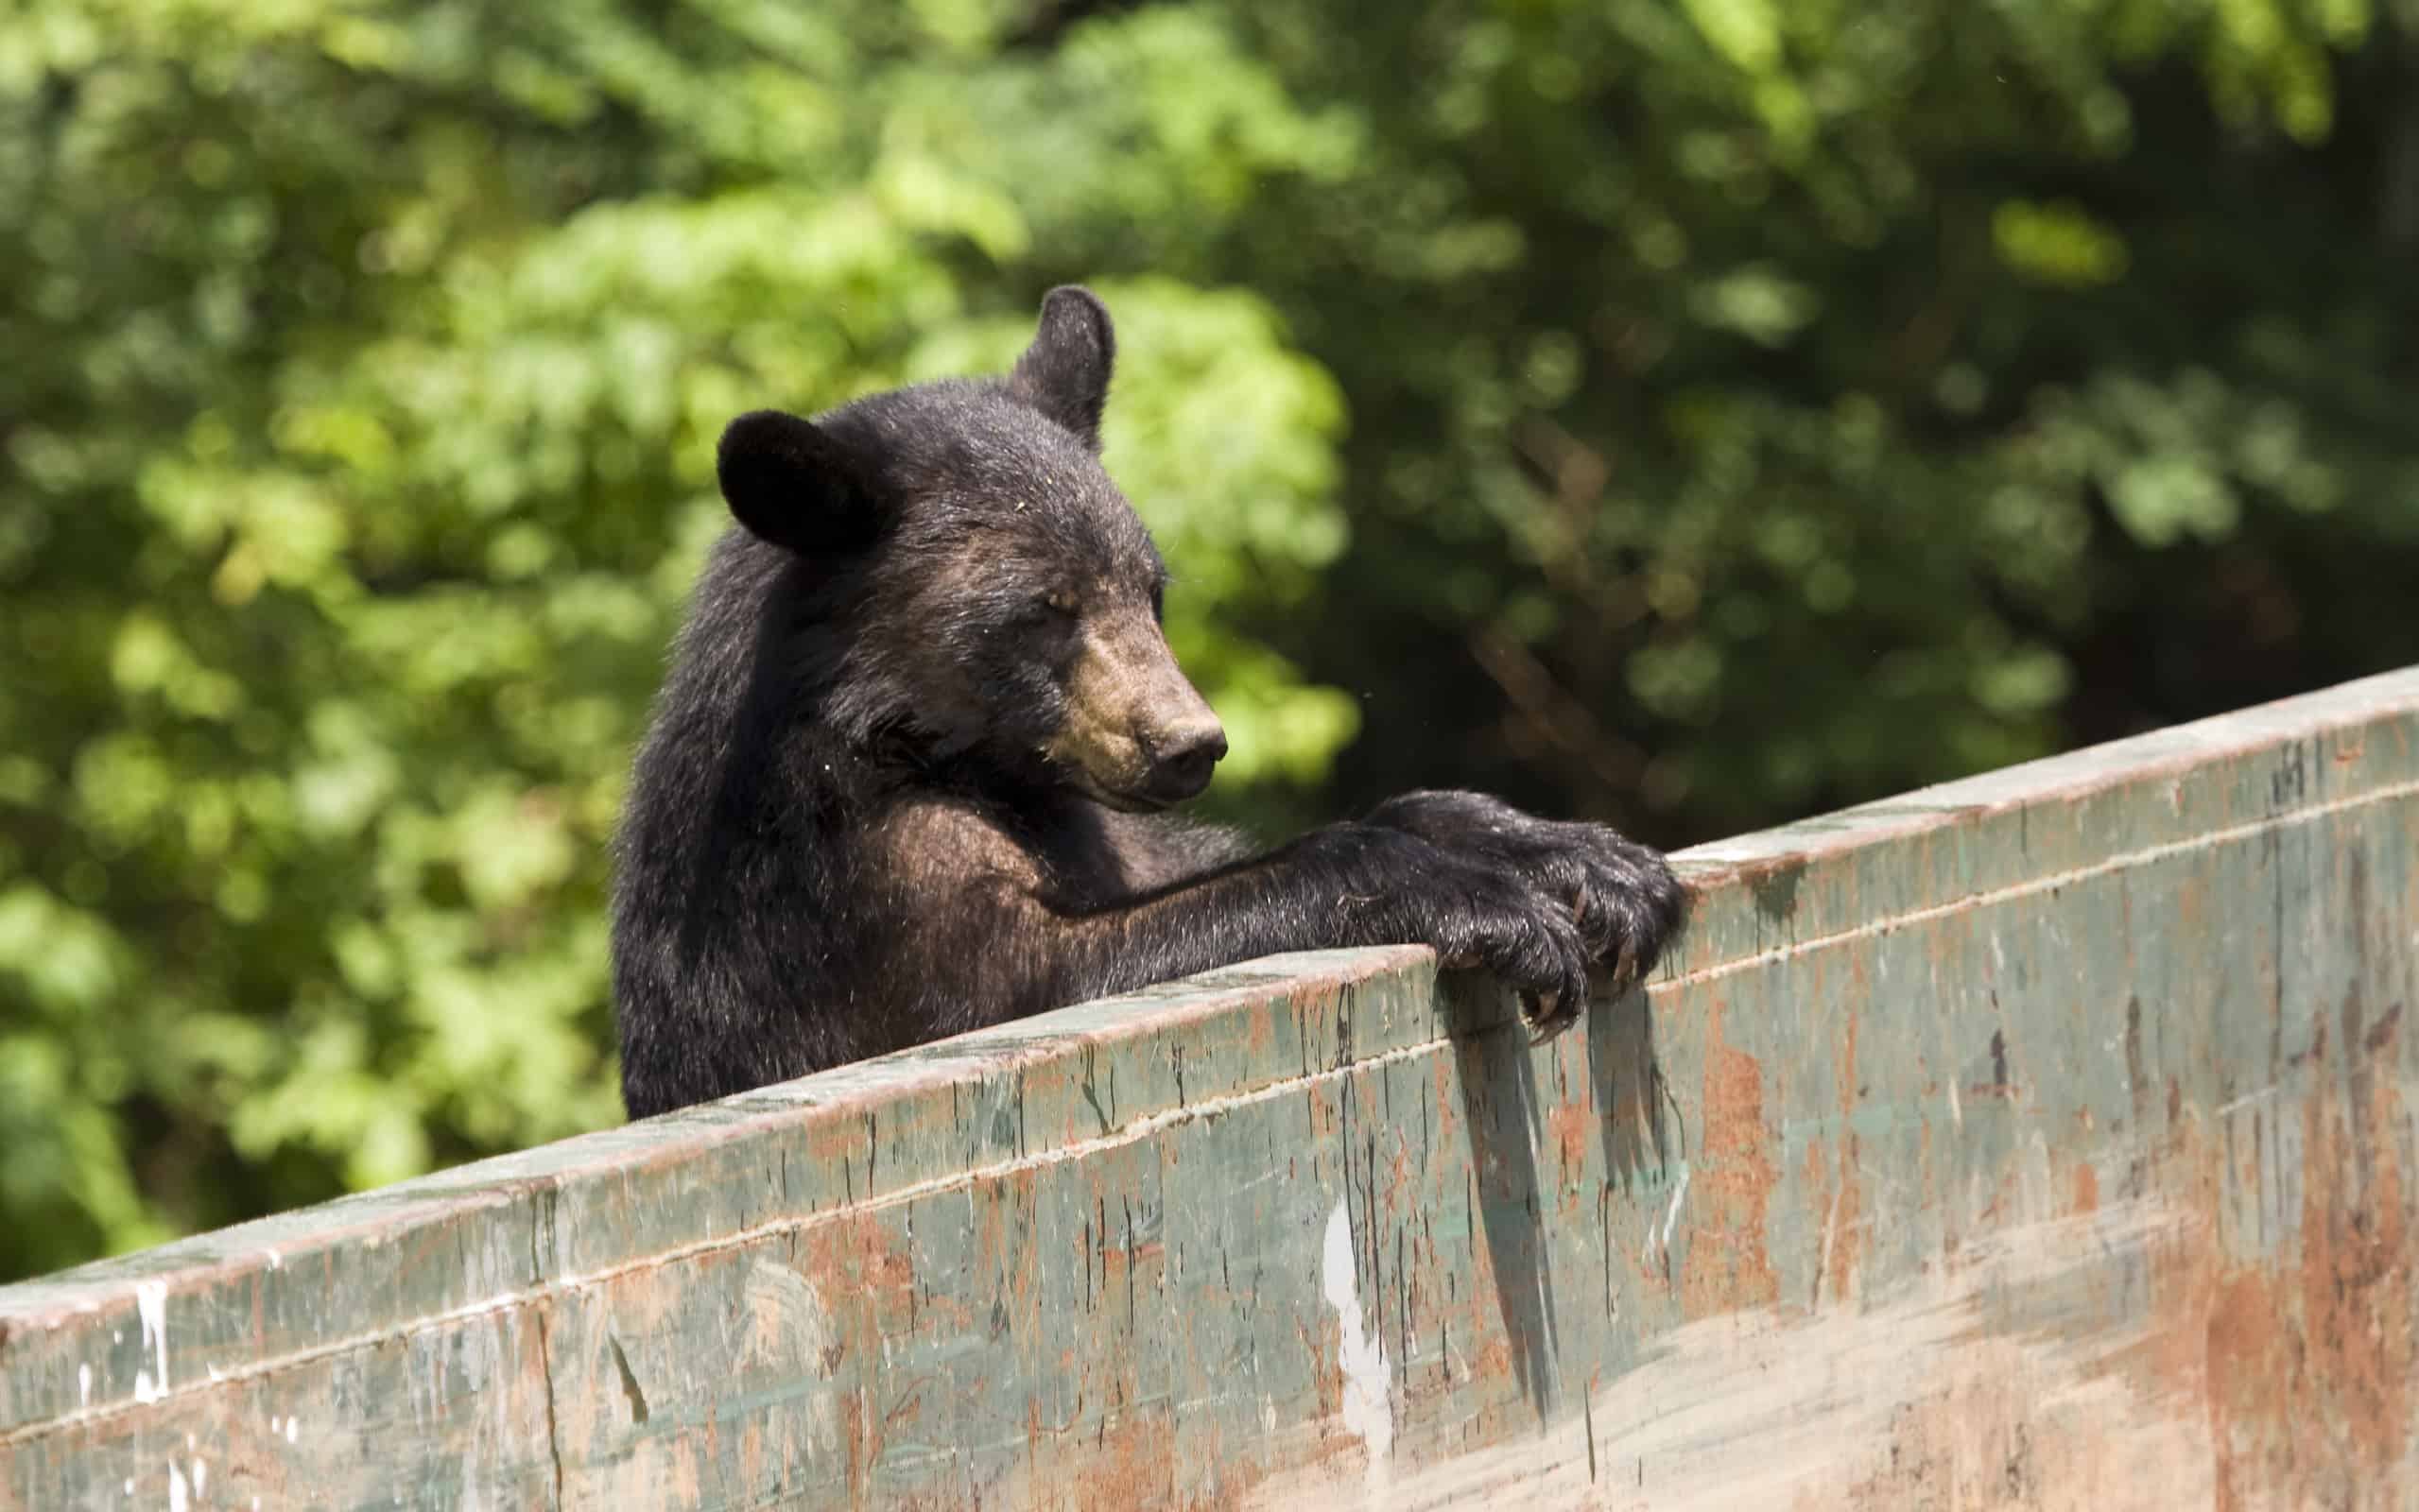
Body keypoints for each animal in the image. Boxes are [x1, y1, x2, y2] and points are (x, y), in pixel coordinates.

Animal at [610, 287, 1686, 1120]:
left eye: (1150, 590)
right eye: (1042, 608)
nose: (1188, 743)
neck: (923, 751)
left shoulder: (1103, 827)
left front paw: (1583, 859)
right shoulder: (859, 892)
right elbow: (1041, 982)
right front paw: (1484, 899)